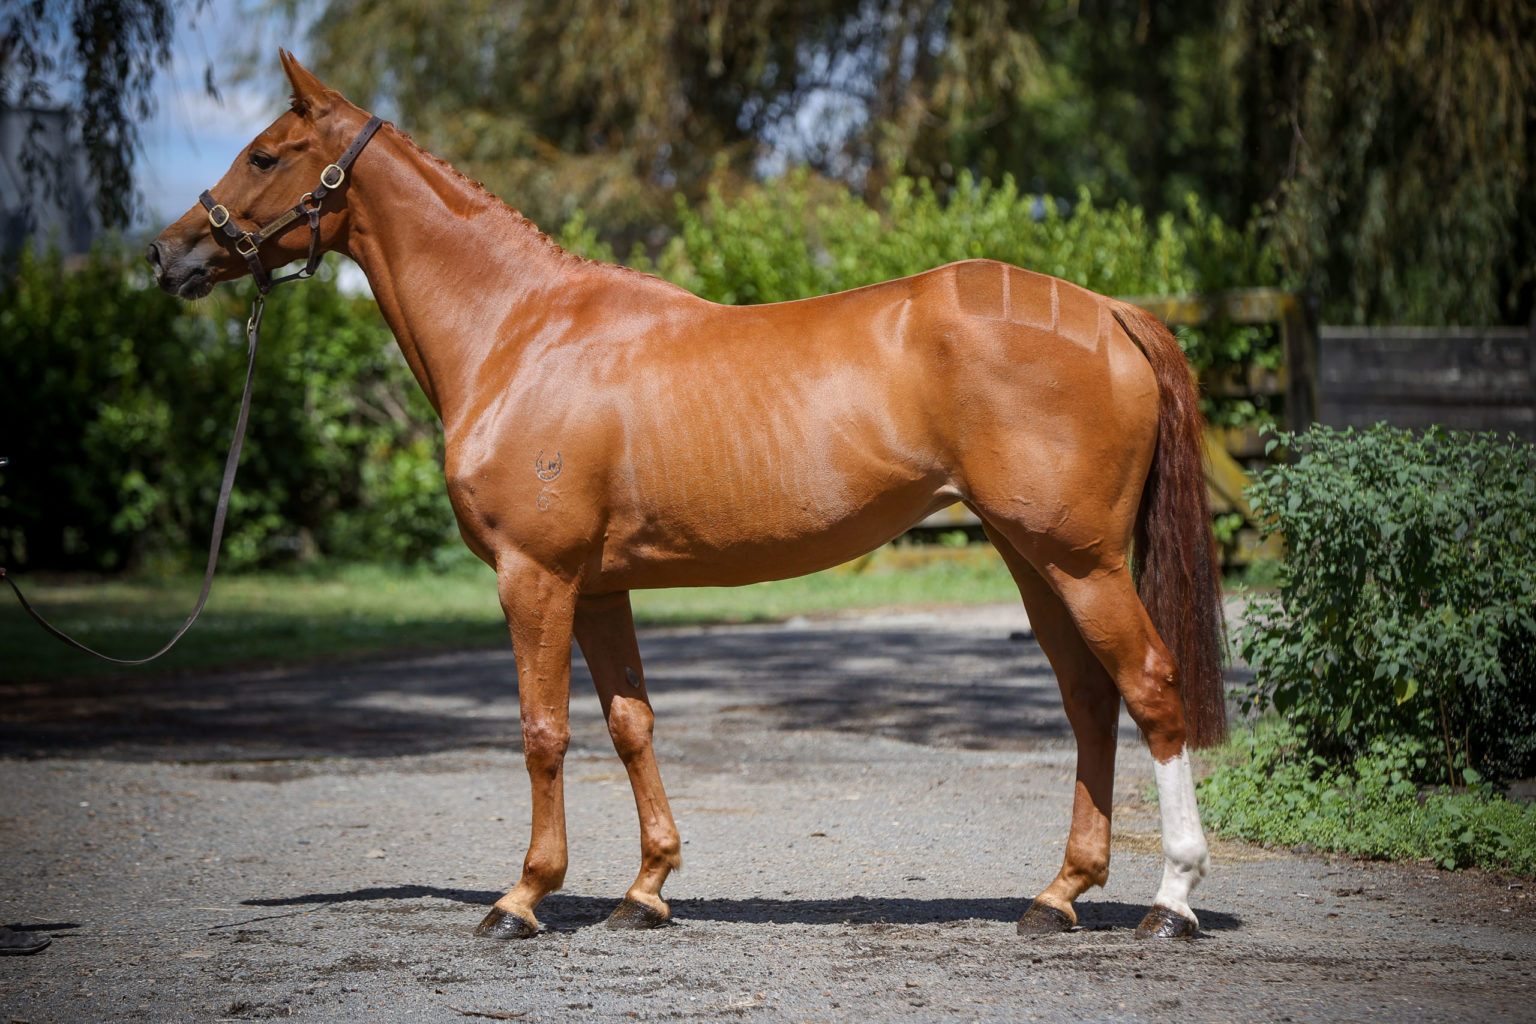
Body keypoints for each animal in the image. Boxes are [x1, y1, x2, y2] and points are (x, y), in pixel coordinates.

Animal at [148, 52, 1226, 942]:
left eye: (264, 153)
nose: (168, 255)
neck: (519, 331)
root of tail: (1110, 312)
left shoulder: (533, 577)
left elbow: (544, 732)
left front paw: (522, 897)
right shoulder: (596, 586)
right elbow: (631, 723)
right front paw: (646, 889)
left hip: (1081, 561)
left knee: (1150, 687)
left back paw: (1171, 900)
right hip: (1033, 557)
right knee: (1090, 700)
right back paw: (1058, 895)